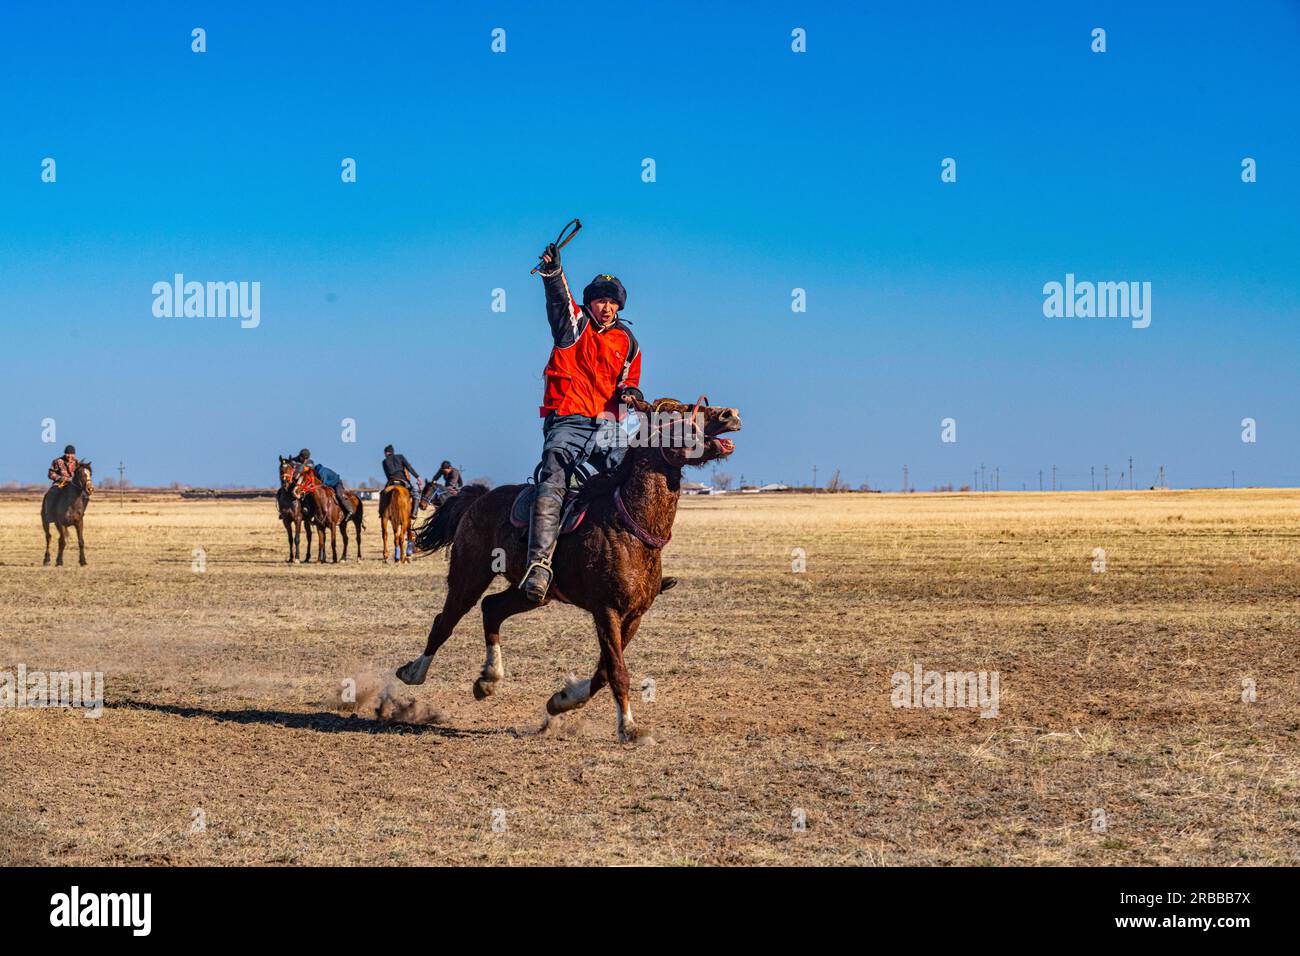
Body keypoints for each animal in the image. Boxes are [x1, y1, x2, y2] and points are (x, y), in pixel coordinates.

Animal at [396, 395, 742, 742]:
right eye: (672, 412)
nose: (730, 414)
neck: (630, 526)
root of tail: (478, 498)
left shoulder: (634, 615)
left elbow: (604, 669)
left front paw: (562, 701)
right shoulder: (605, 610)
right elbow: (617, 670)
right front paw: (628, 728)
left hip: (533, 594)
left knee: (492, 608)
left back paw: (488, 680)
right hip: (469, 574)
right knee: (445, 621)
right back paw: (413, 672)